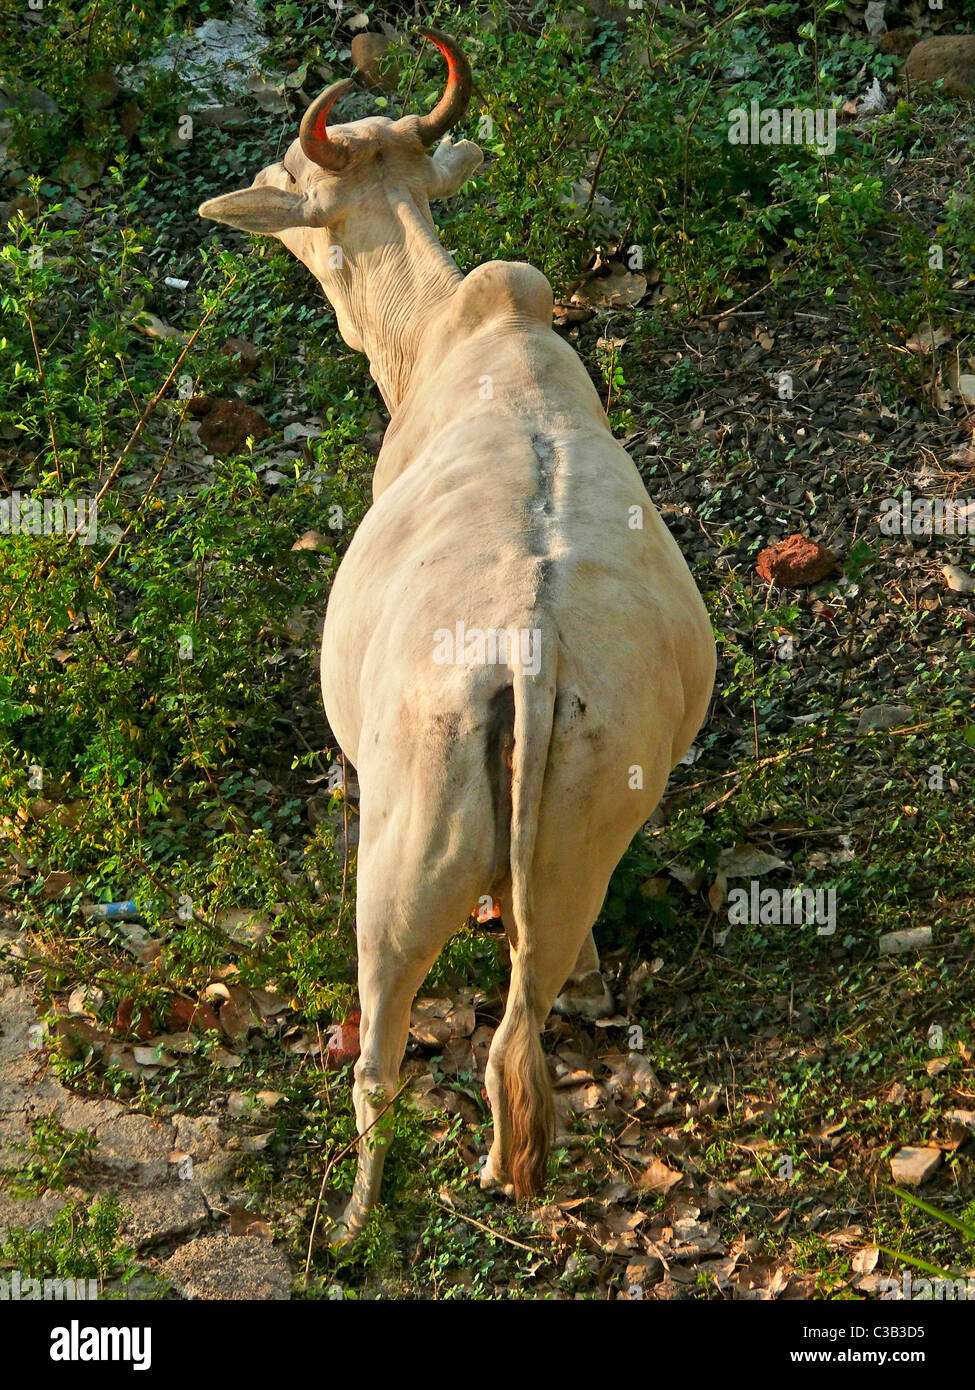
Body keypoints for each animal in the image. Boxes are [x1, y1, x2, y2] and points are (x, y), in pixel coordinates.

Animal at [199, 30, 715, 1241]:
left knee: (382, 1056)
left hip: (399, 872)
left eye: (297, 195)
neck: (453, 335)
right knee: (529, 1003)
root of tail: (529, 656)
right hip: (581, 840)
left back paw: (355, 1218)